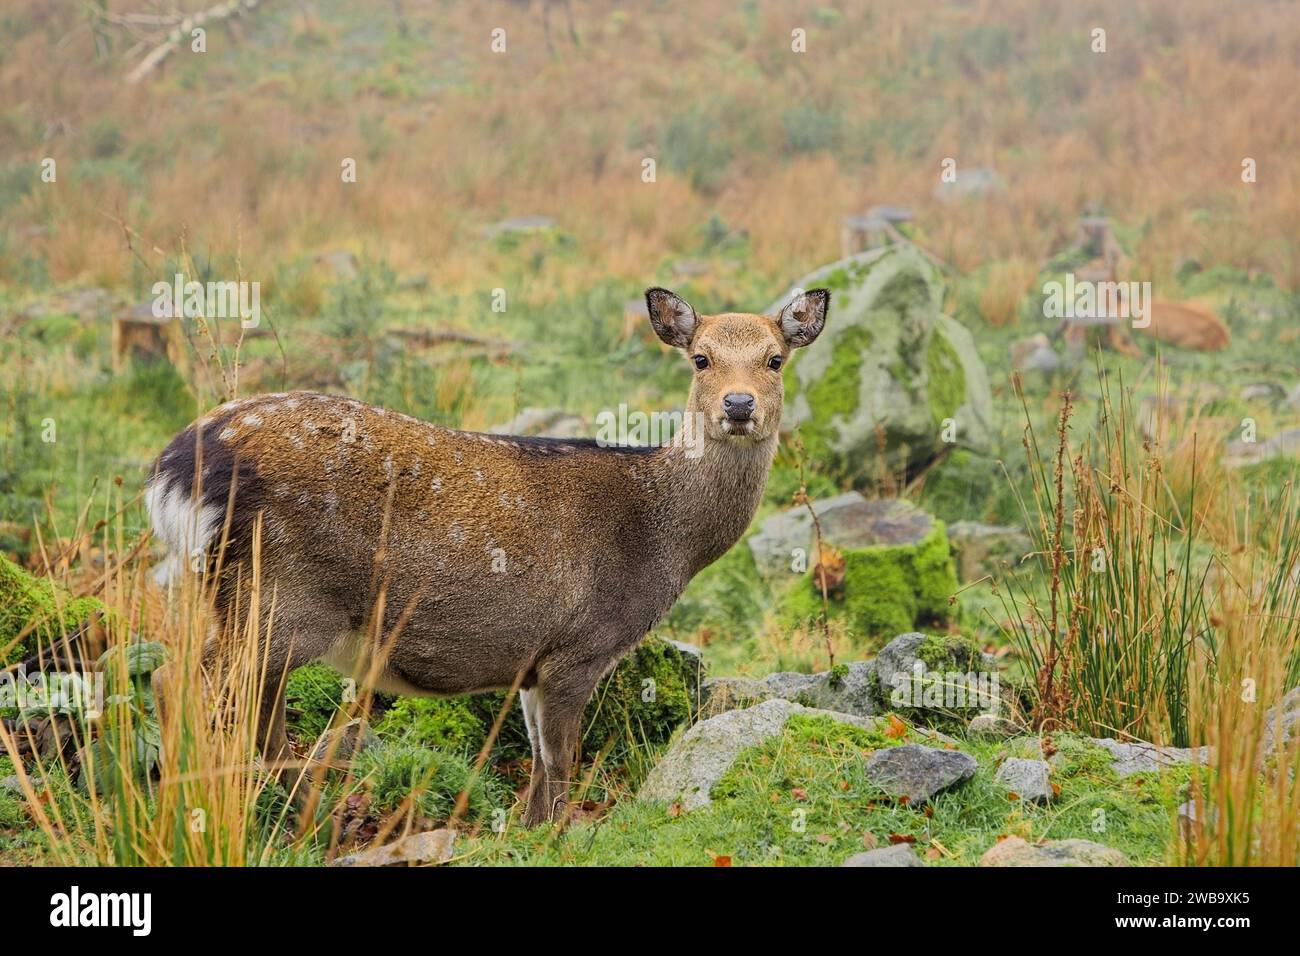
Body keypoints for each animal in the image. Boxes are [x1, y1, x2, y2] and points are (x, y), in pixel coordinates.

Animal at [145, 286, 829, 825]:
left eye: (775, 358)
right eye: (700, 357)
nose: (738, 405)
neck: (667, 543)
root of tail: (174, 469)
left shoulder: (535, 659)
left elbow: (538, 758)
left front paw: (525, 830)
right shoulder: (581, 646)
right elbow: (560, 760)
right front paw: (558, 833)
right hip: (281, 595)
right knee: (190, 682)